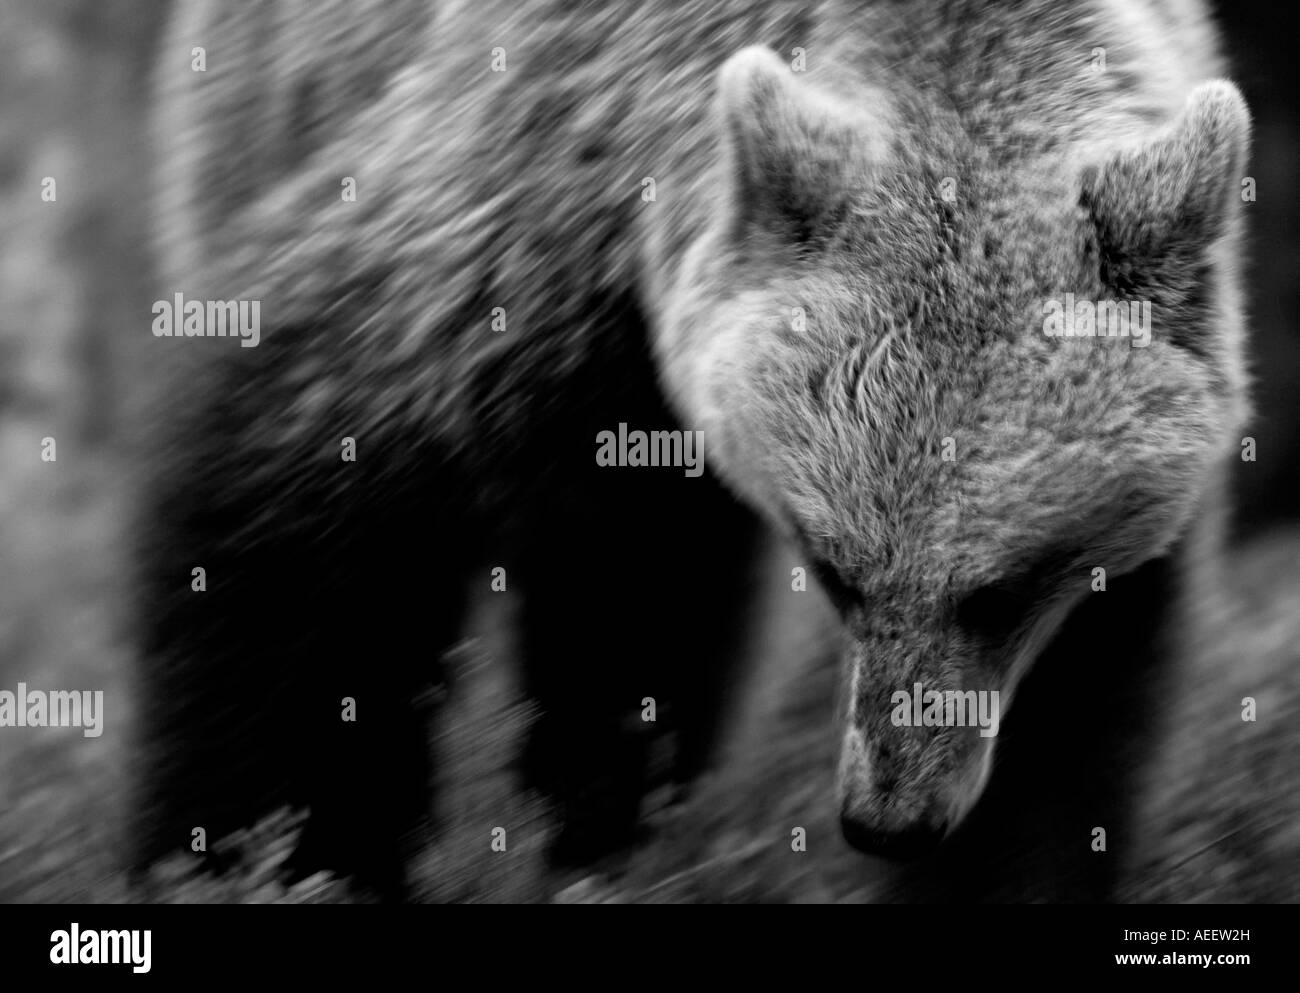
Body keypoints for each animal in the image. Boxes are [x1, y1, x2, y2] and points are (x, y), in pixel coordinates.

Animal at [135, 0, 1250, 900]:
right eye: (837, 571)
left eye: (1005, 587)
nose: (887, 818)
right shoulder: (527, 231)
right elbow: (306, 539)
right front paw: (276, 854)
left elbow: (1075, 725)